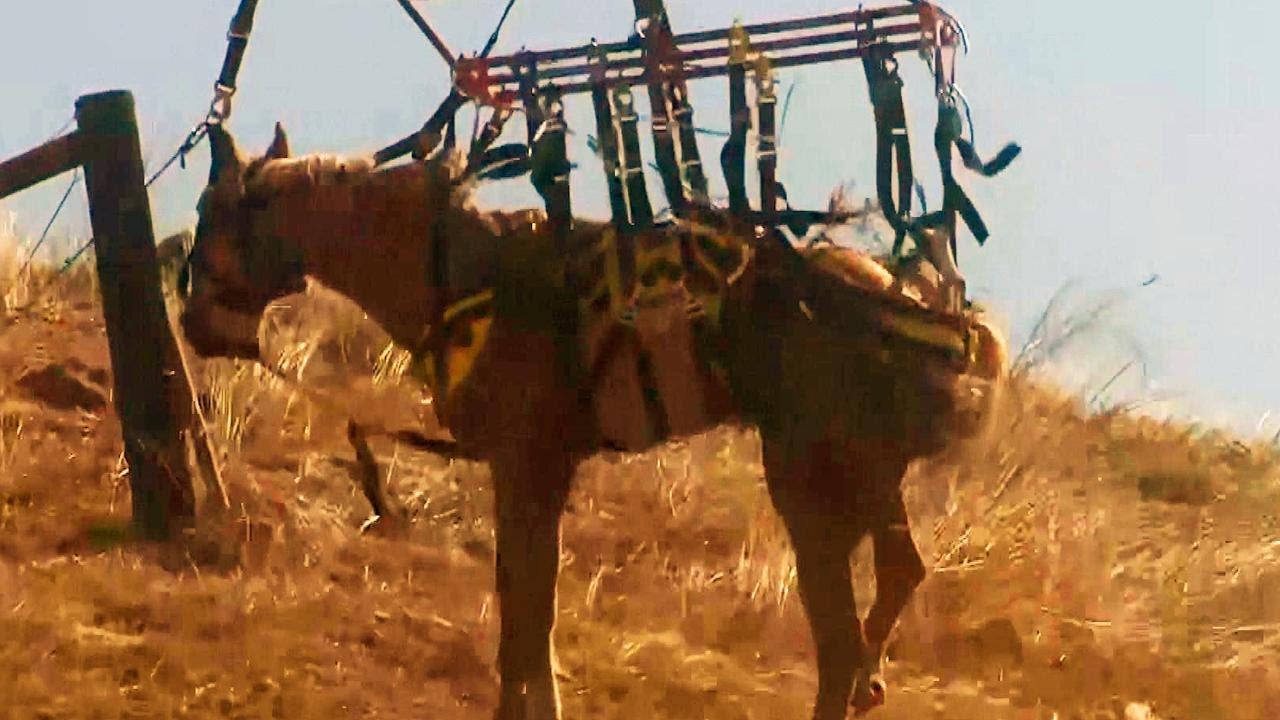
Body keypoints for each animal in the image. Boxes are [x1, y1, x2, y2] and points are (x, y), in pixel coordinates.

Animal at [178, 122, 1006, 720]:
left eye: (206, 213)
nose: (190, 327)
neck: (451, 266)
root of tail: (913, 303)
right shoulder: (531, 474)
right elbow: (521, 605)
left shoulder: (527, 468)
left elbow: (528, 611)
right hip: (855, 482)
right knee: (887, 586)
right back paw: (869, 678)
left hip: (811, 482)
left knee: (847, 628)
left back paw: (858, 679)